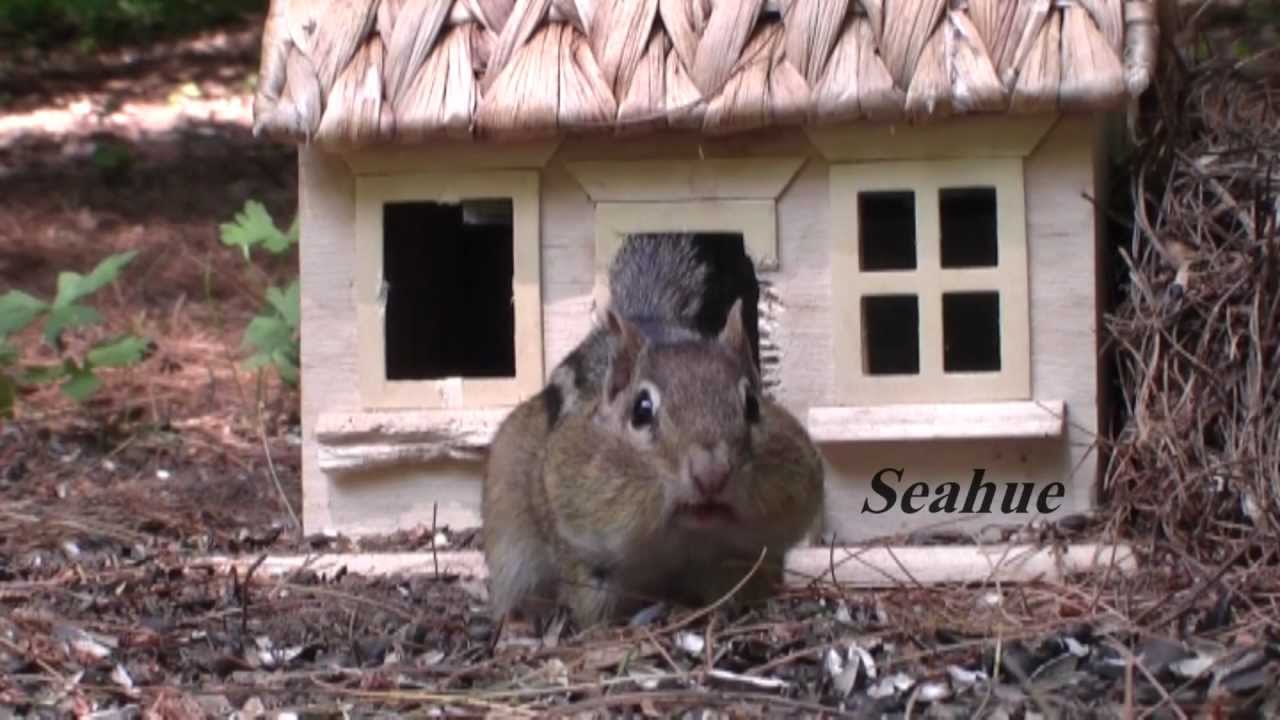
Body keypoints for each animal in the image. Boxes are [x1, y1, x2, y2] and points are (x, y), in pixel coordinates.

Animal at [482, 234, 824, 628]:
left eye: (752, 404)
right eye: (641, 410)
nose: (711, 475)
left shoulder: (749, 561)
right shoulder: (584, 560)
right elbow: (593, 610)